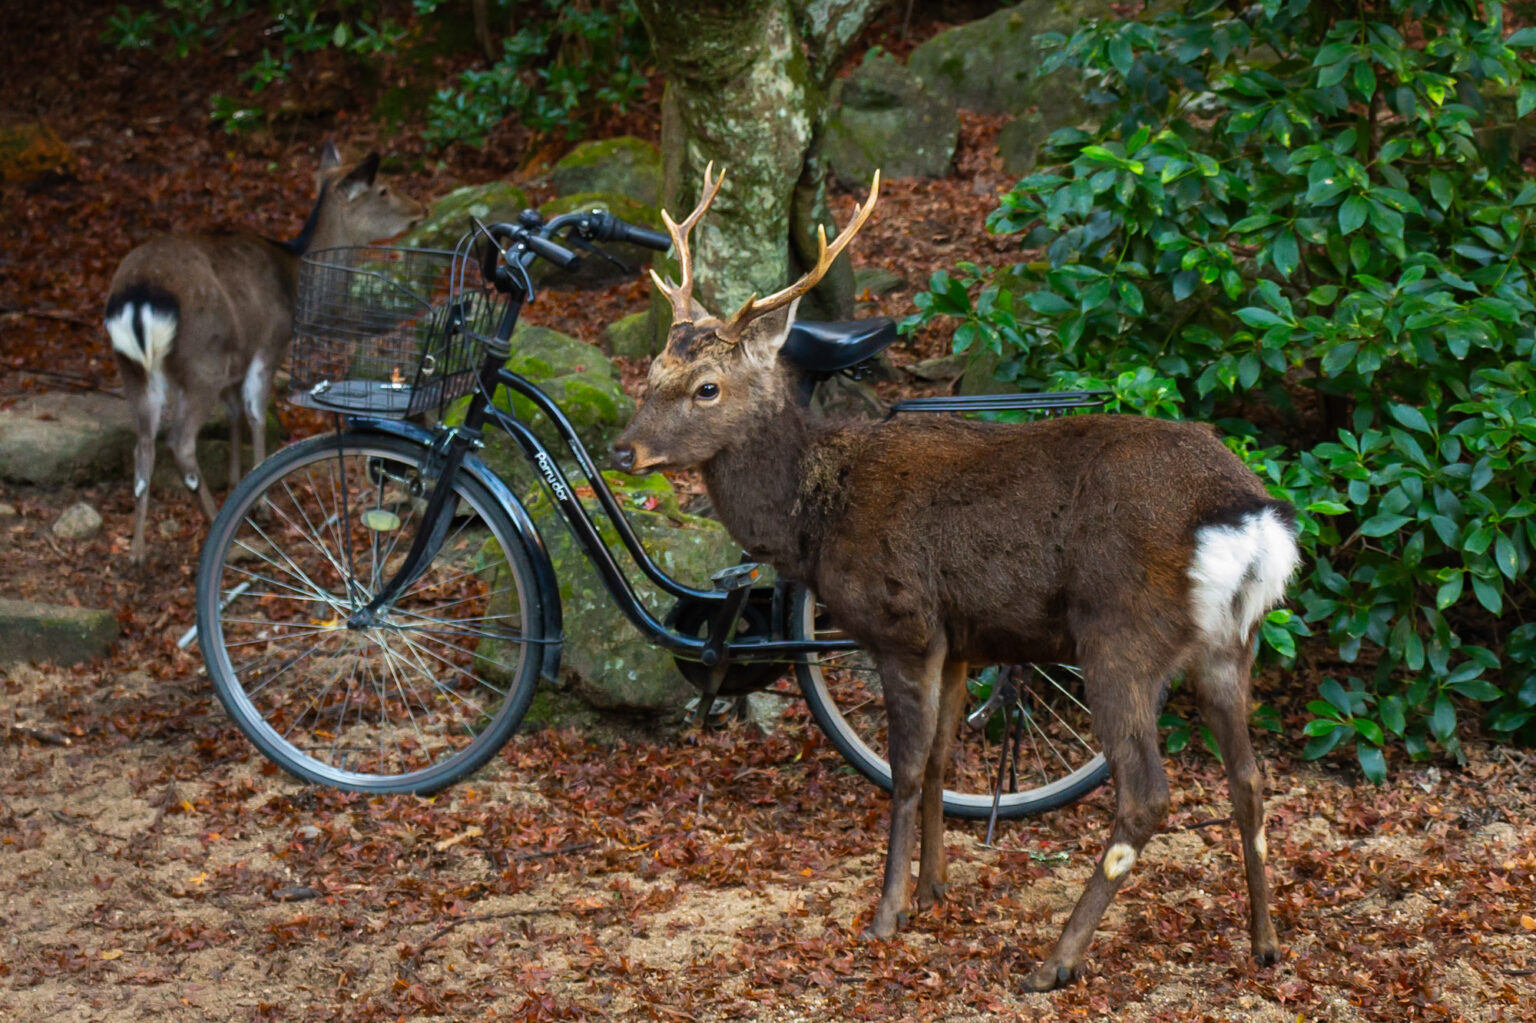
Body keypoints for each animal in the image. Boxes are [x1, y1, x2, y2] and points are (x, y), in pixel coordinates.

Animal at [103, 142, 424, 563]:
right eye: (384, 189)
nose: (422, 208)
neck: (297, 286)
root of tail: (137, 296)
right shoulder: (269, 343)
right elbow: (256, 415)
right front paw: (260, 505)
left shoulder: (235, 363)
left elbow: (235, 416)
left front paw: (237, 483)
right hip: (200, 361)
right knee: (179, 442)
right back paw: (218, 529)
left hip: (135, 370)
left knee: (143, 448)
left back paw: (137, 552)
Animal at [611, 165, 1301, 991]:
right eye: (654, 372)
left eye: (707, 387)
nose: (621, 449)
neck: (816, 515)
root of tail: (1250, 517)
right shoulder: (962, 638)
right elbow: (944, 757)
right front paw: (937, 888)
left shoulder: (903, 623)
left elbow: (906, 770)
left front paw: (887, 913)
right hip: (1232, 642)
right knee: (1250, 781)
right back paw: (1265, 942)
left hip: (1121, 632)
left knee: (1146, 795)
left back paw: (1054, 960)